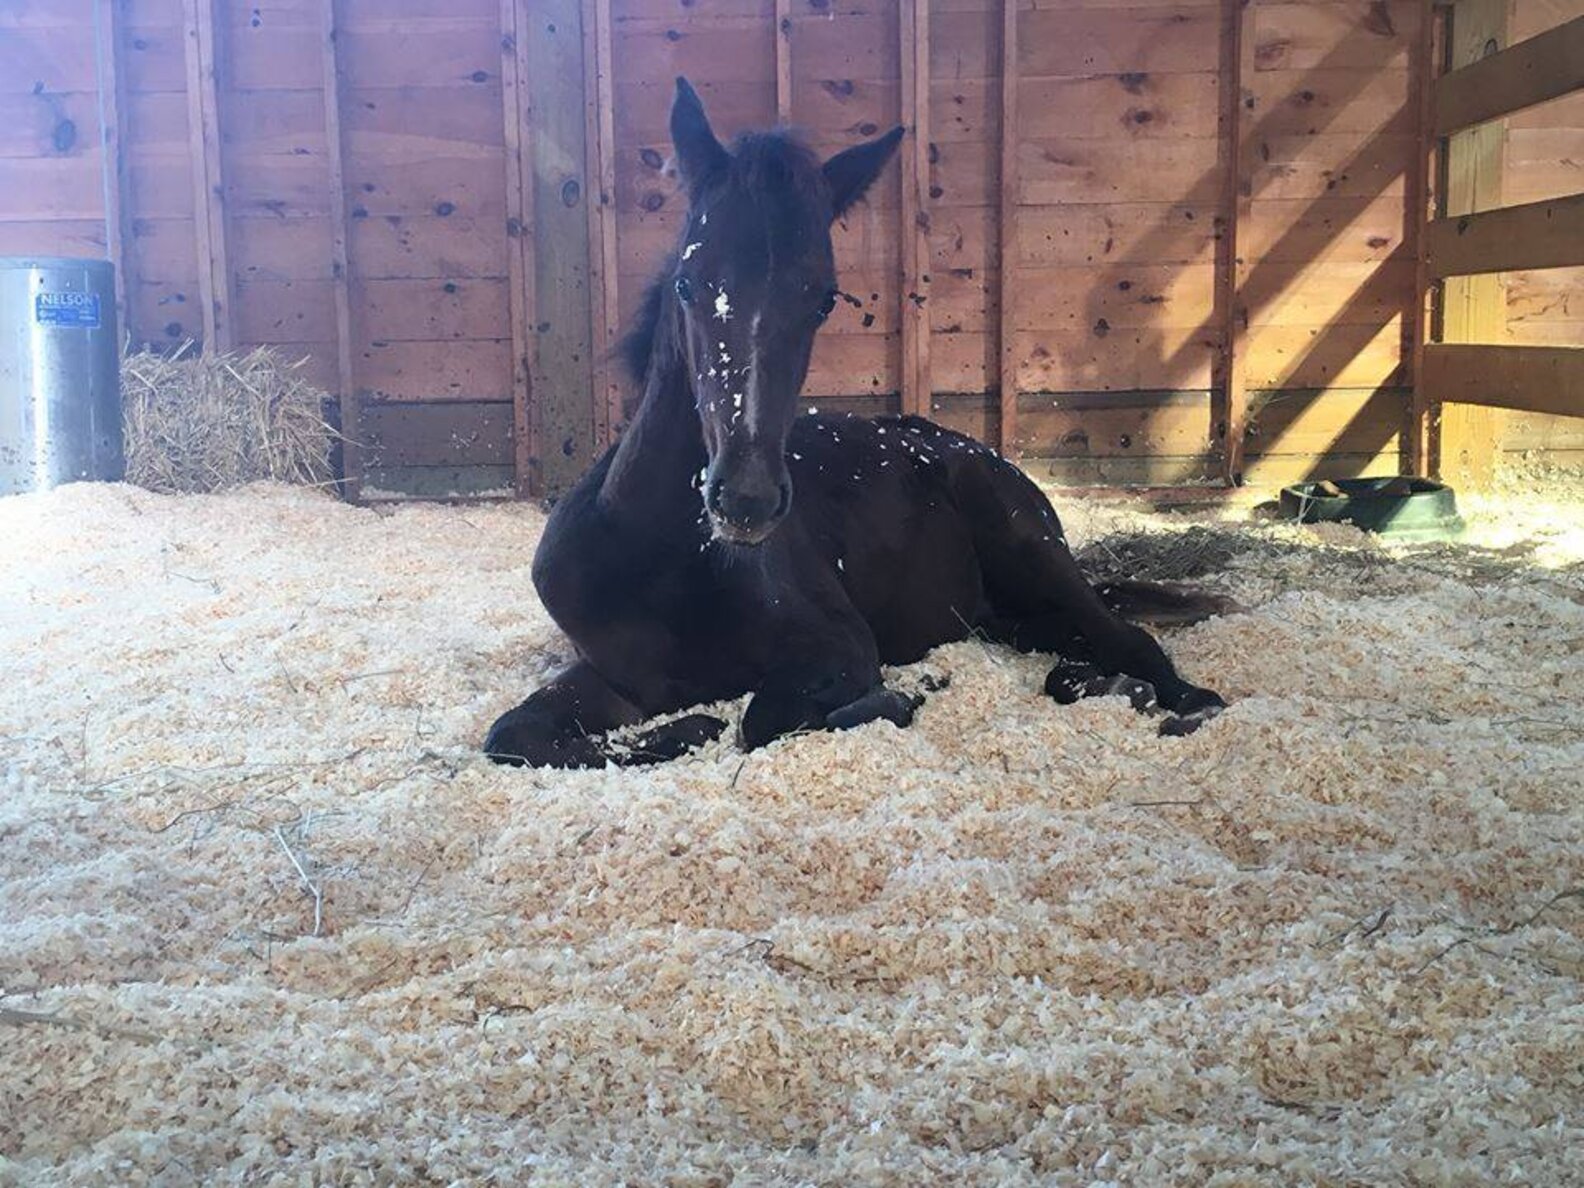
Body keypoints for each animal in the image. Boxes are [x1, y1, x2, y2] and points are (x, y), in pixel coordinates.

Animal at [483, 78, 1231, 768]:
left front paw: (906, 693)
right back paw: (1095, 683)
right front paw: (687, 727)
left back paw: (1166, 700)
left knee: (1134, 643)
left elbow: (764, 720)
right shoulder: (616, 676)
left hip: (1031, 552)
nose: (746, 500)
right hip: (1009, 613)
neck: (660, 556)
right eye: (687, 284)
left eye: (822, 298)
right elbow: (515, 736)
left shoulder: (838, 644)